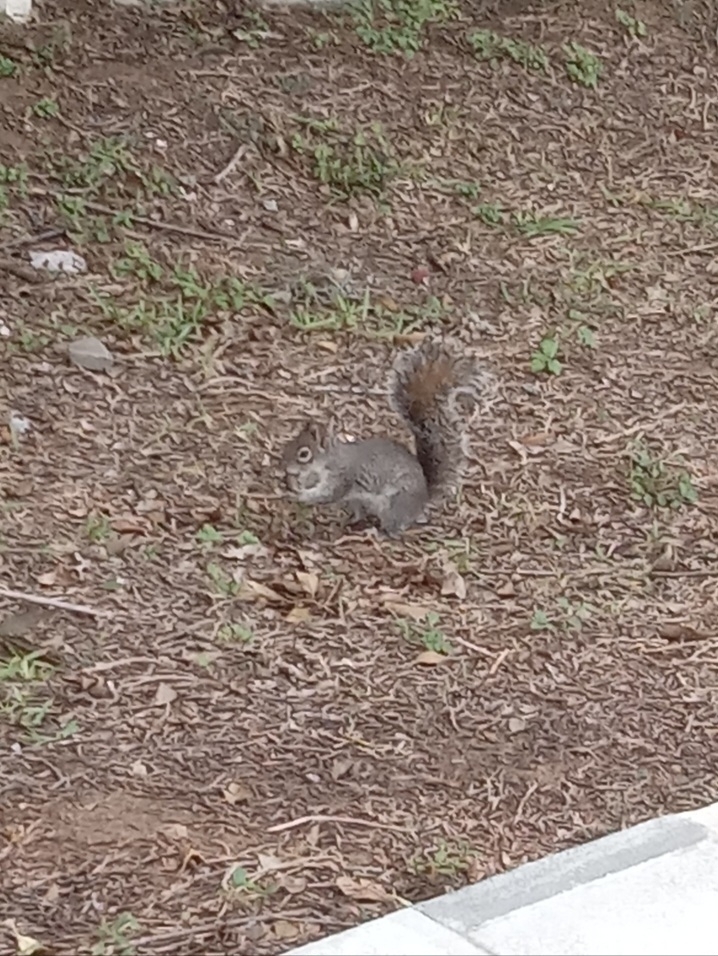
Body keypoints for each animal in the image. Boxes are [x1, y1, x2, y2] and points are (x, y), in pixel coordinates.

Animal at [281, 337, 487, 536]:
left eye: (304, 454)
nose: (284, 467)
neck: (328, 460)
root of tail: (423, 499)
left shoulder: (342, 475)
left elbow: (327, 494)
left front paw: (298, 495)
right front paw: (296, 485)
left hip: (394, 505)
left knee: (393, 528)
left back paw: (376, 533)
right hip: (359, 502)